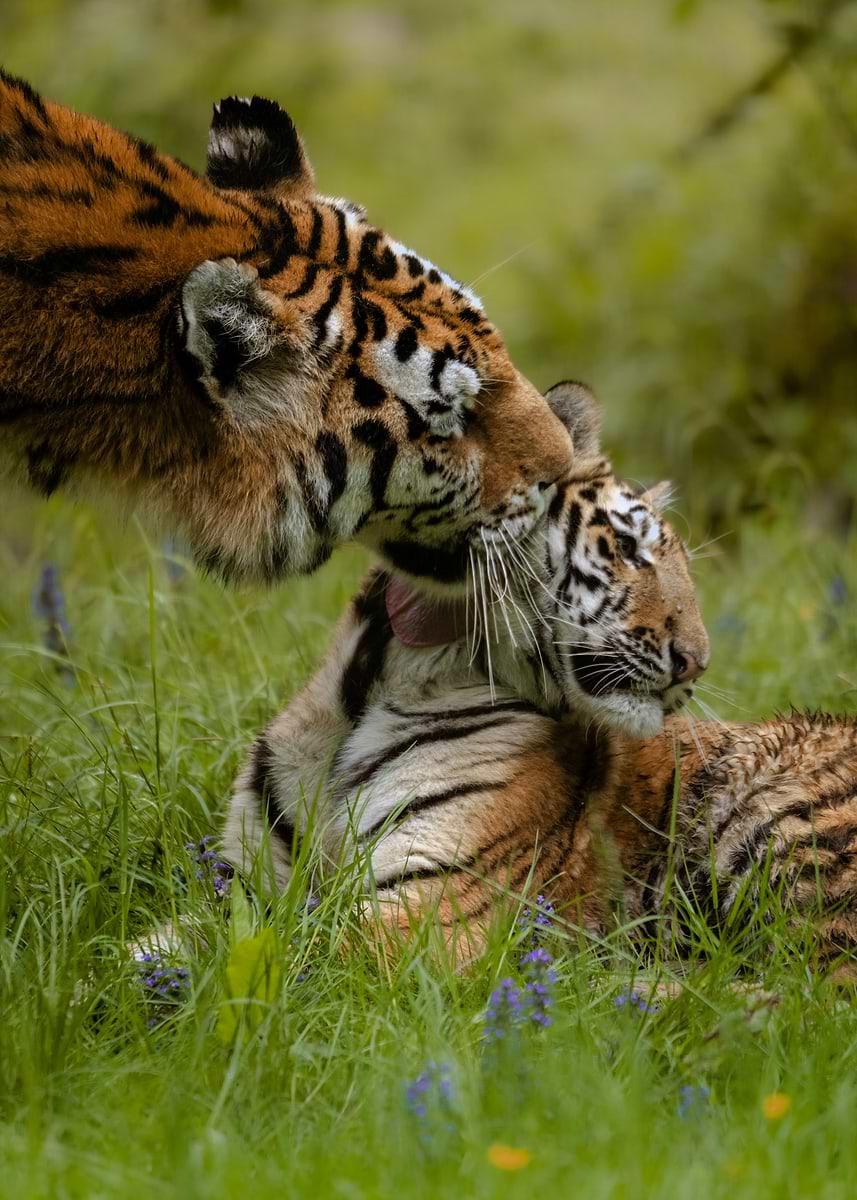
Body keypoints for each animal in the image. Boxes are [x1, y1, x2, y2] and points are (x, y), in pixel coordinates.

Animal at [223, 382, 857, 975]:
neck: (381, 671)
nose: (696, 661)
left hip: (766, 815)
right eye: (627, 546)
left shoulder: (425, 911)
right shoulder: (242, 877)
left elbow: (286, 958)